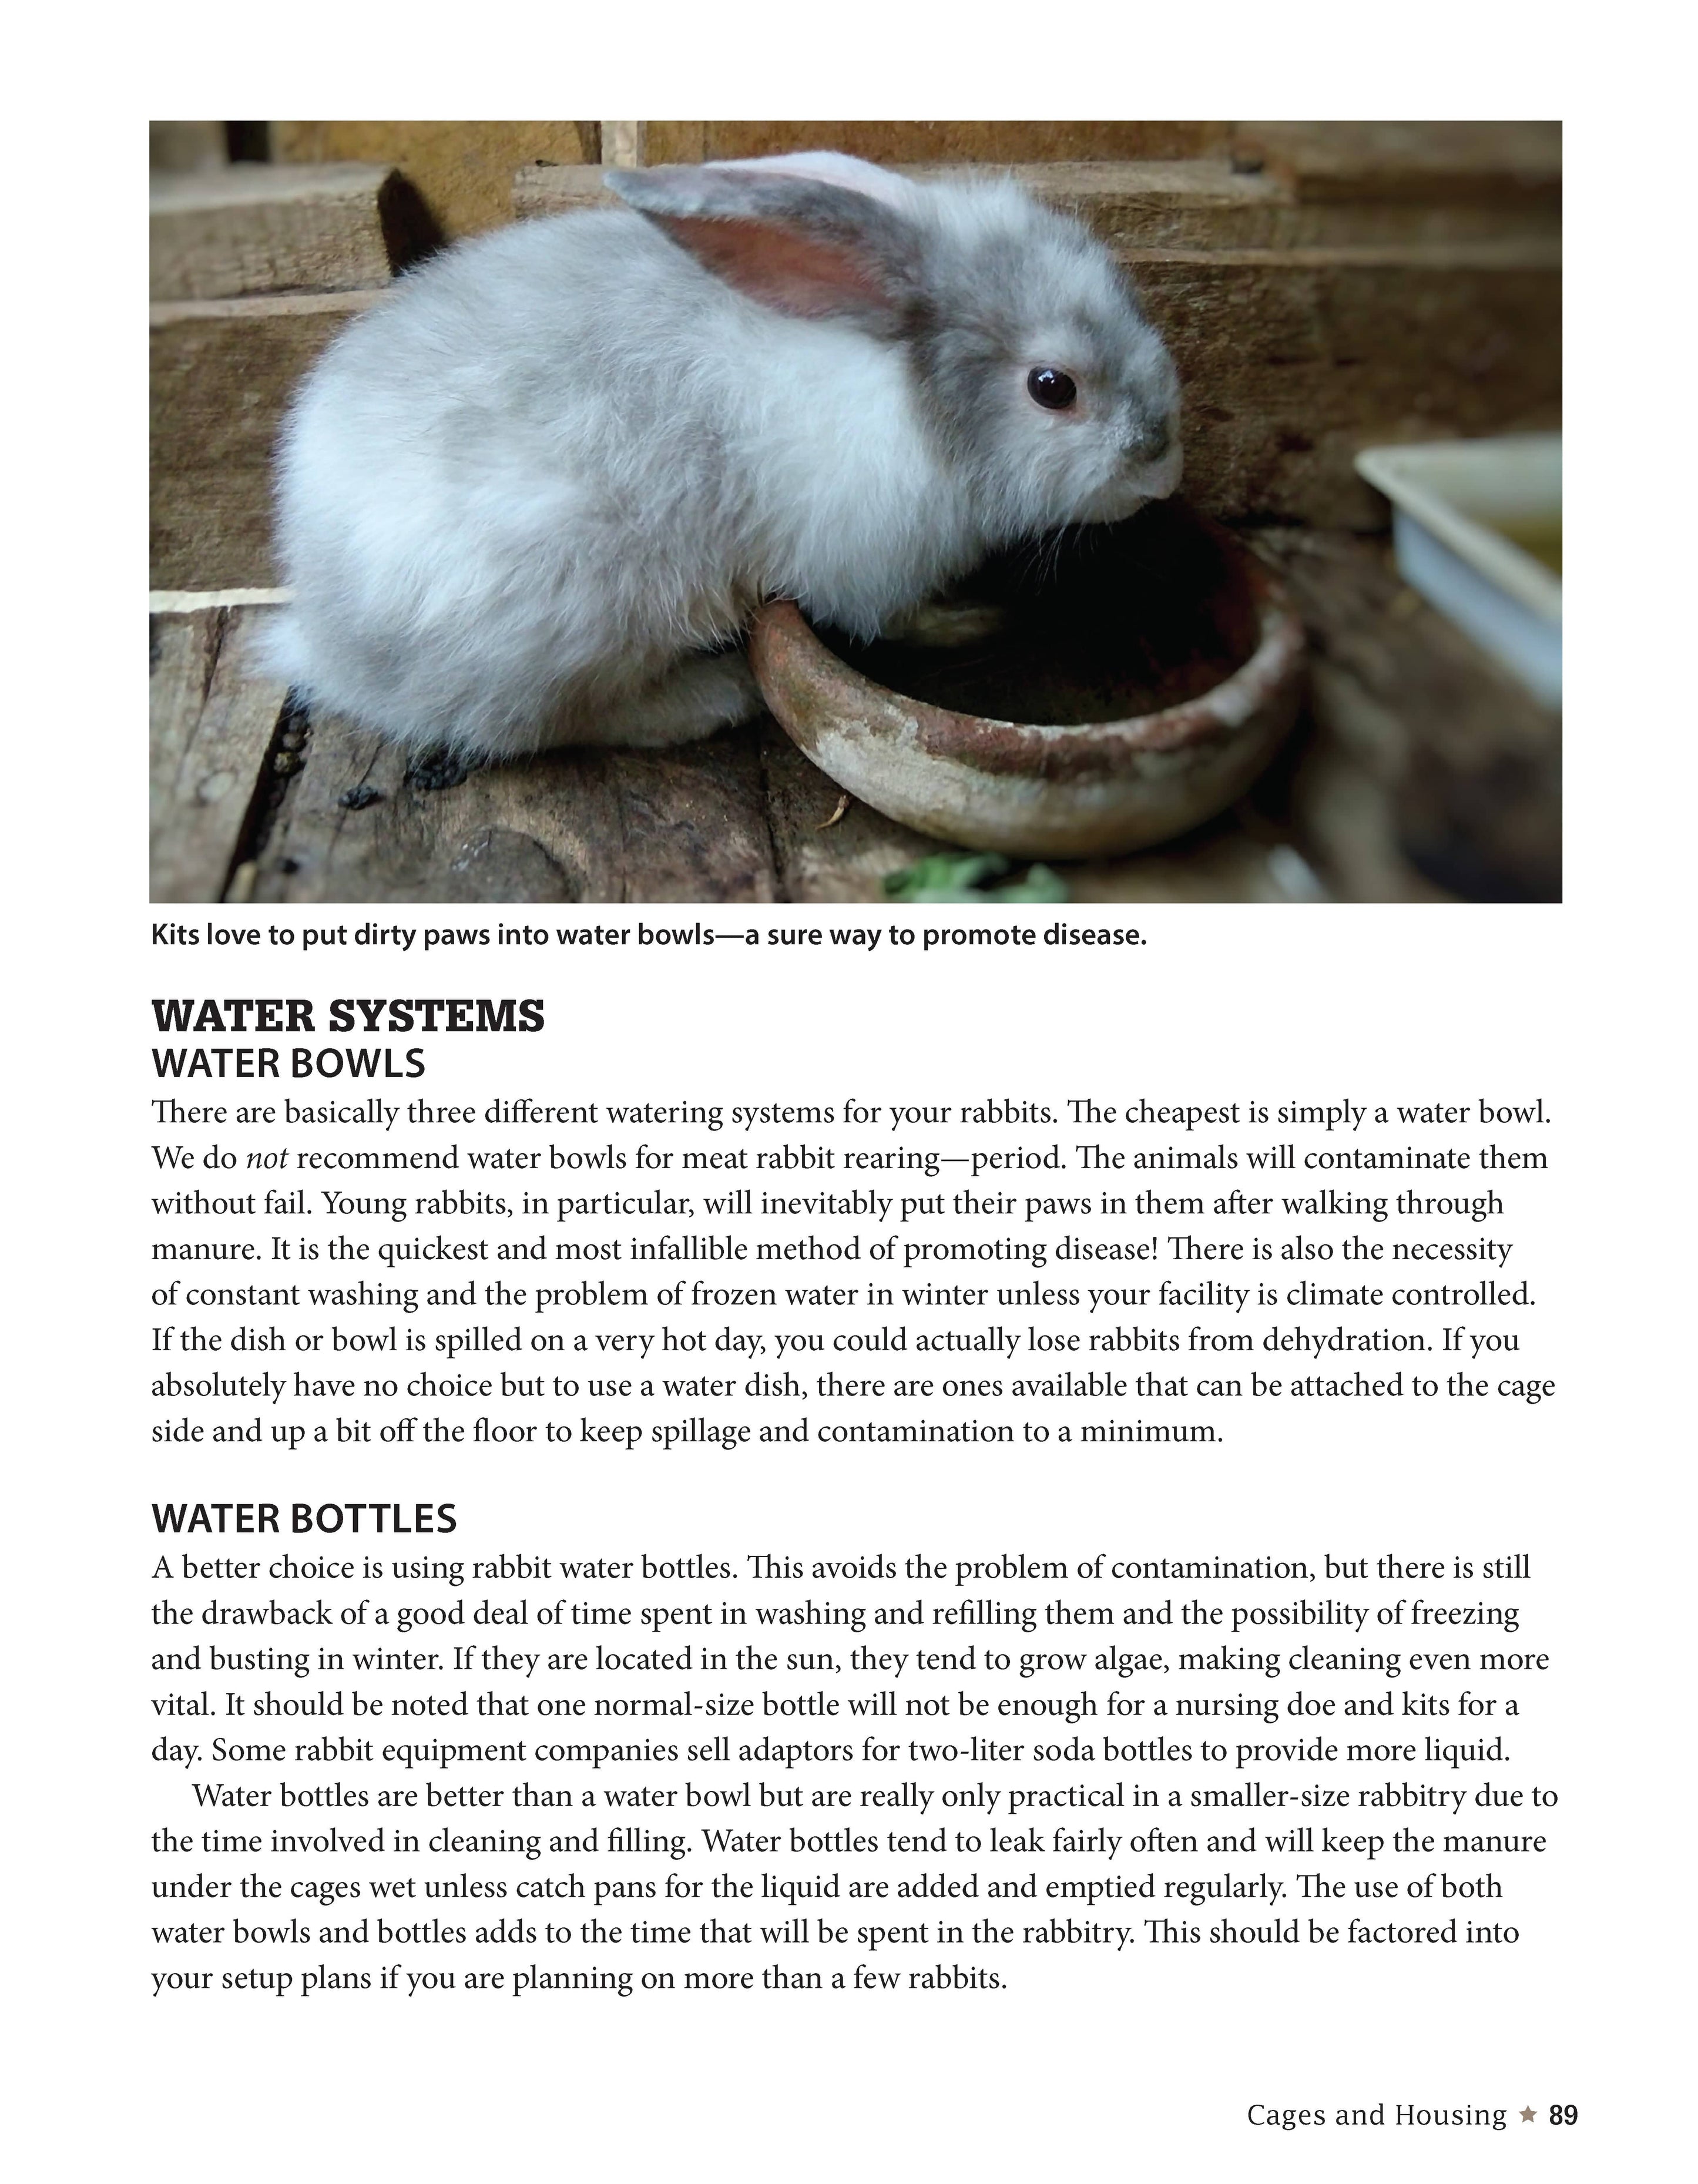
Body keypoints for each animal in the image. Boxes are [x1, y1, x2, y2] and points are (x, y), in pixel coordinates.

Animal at [268, 151, 1183, 763]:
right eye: (1051, 387)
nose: (1161, 469)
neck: (904, 392)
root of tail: (329, 641)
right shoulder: (866, 564)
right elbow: (893, 618)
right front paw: (969, 620)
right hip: (584, 614)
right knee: (544, 724)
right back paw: (717, 697)